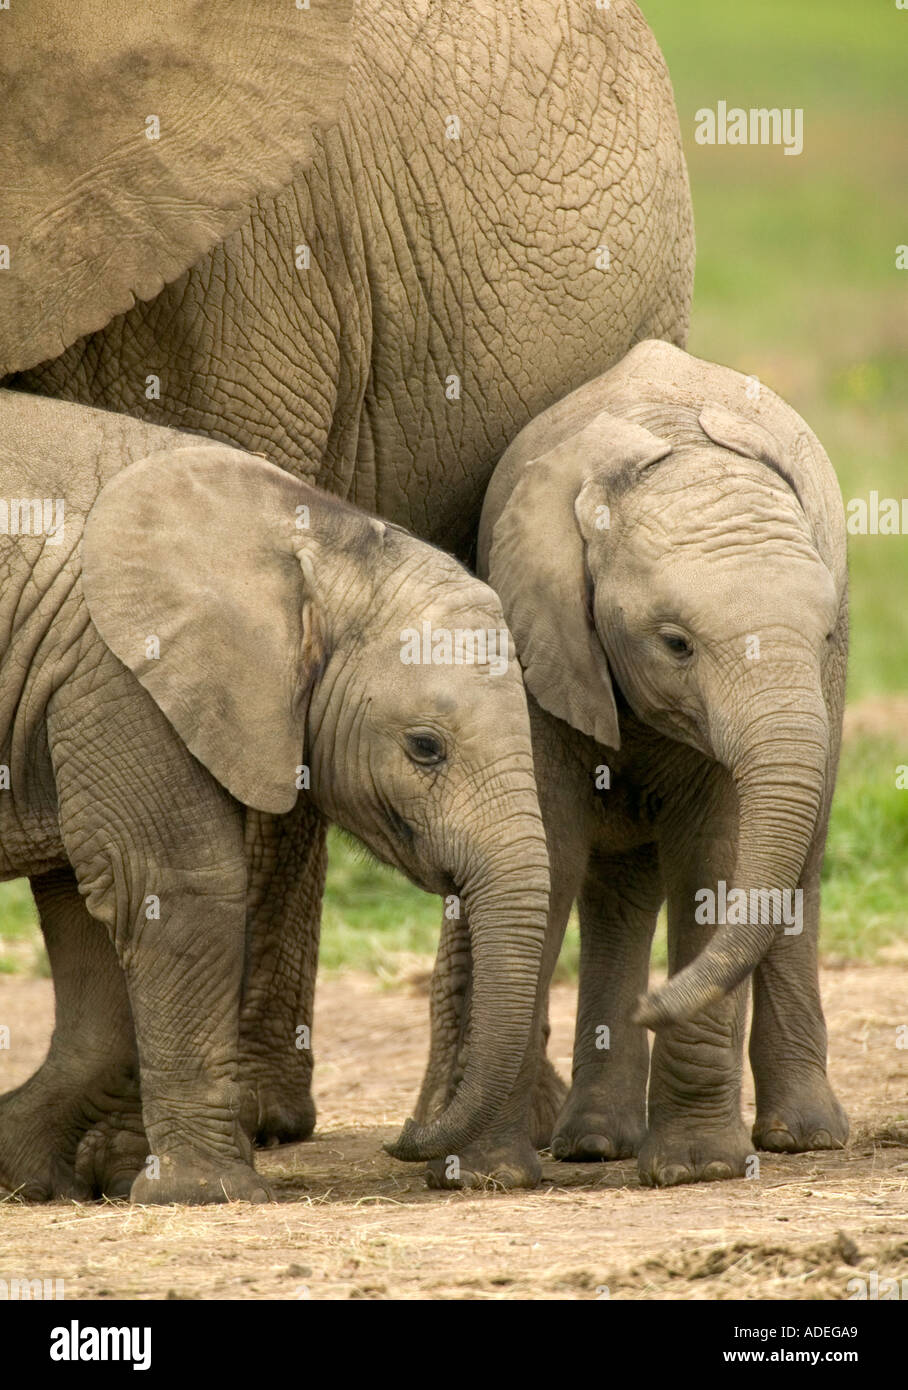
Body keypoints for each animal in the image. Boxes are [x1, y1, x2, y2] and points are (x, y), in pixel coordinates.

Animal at [0, 388, 549, 1203]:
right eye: (425, 748)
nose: (402, 1140)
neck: (312, 538)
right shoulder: (119, 673)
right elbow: (170, 885)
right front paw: (211, 1193)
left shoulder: (71, 685)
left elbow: (90, 905)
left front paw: (26, 1171)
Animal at [412, 340, 849, 1189]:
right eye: (675, 643)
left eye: (821, 636)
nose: (657, 1004)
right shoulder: (536, 649)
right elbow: (544, 859)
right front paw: (490, 1178)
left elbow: (717, 861)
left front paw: (696, 1169)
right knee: (618, 889)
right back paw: (594, 1142)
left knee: (800, 862)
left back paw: (806, 1138)